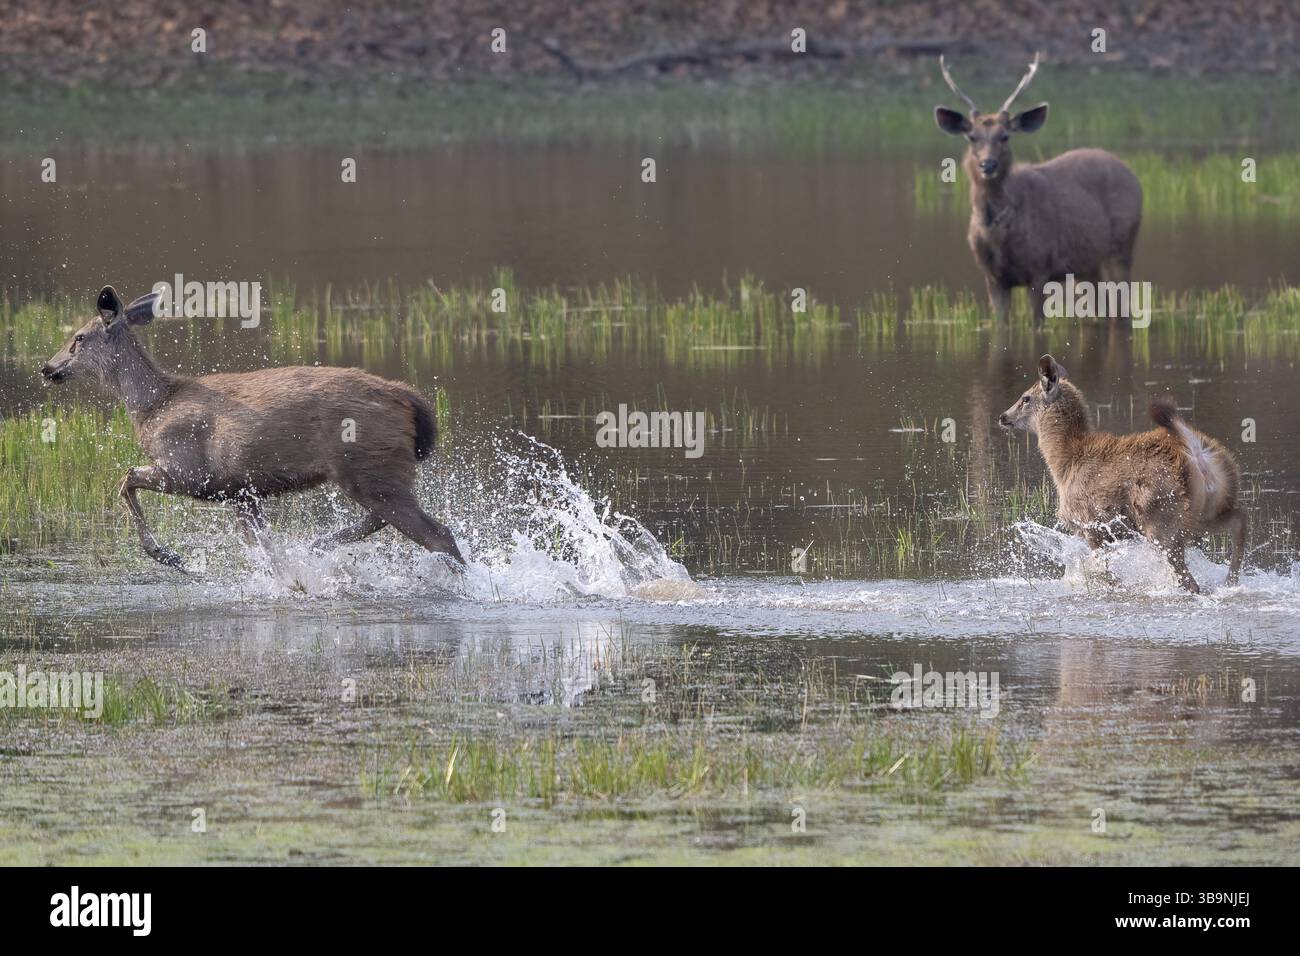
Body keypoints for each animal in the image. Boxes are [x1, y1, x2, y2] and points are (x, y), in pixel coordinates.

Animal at [41, 285, 466, 573]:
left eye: (78, 338)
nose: (48, 367)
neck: (150, 408)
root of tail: (409, 400)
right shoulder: (240, 492)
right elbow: (266, 549)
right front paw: (288, 578)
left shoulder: (188, 472)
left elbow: (125, 479)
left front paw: (170, 556)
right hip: (376, 475)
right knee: (383, 521)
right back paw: (317, 546)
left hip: (369, 468)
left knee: (439, 535)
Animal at [934, 54, 1143, 324]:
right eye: (972, 137)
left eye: (1005, 136)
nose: (987, 164)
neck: (999, 237)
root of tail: (1133, 175)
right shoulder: (994, 278)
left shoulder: (1040, 269)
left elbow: (1037, 324)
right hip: (1087, 264)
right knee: (1099, 311)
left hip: (1121, 244)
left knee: (1122, 307)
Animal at [1000, 354, 1246, 594]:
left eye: (1025, 398)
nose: (1003, 416)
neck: (1064, 465)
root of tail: (1196, 454)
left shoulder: (1090, 524)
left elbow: (1102, 572)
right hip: (1206, 512)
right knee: (1239, 521)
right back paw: (1230, 580)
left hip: (1163, 518)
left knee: (1190, 581)